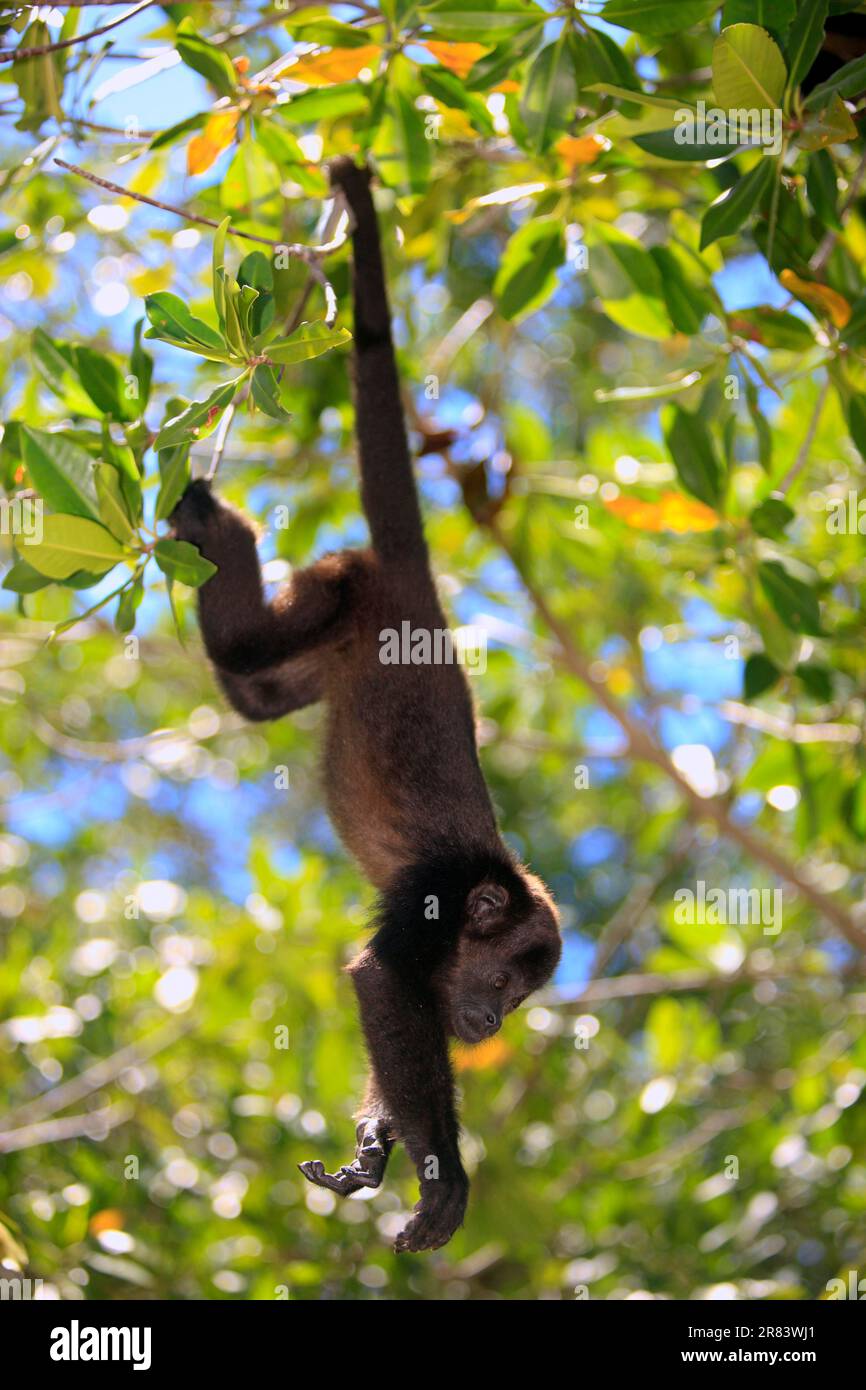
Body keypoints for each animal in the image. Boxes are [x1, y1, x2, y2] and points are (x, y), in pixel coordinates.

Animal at [170, 157, 561, 1254]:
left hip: (335, 637)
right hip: (342, 583)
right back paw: (217, 526)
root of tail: (417, 594)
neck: (490, 889)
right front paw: (444, 1176)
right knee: (247, 651)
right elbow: (381, 982)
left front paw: (377, 1145)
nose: (495, 1024)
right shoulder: (432, 900)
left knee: (257, 693)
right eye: (506, 982)